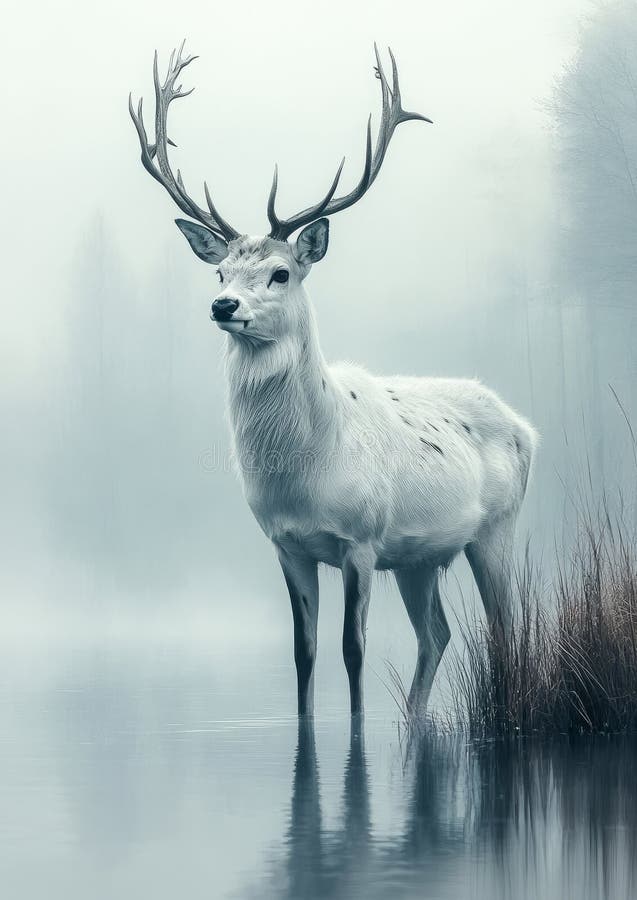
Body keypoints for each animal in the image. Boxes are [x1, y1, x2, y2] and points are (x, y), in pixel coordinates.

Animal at [129, 42, 537, 718]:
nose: (222, 307)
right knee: (439, 633)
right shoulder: (289, 545)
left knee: (506, 626)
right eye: (220, 274)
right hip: (420, 557)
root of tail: (524, 425)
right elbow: (304, 654)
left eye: (280, 273)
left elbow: (353, 651)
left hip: (496, 529)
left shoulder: (361, 540)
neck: (308, 472)